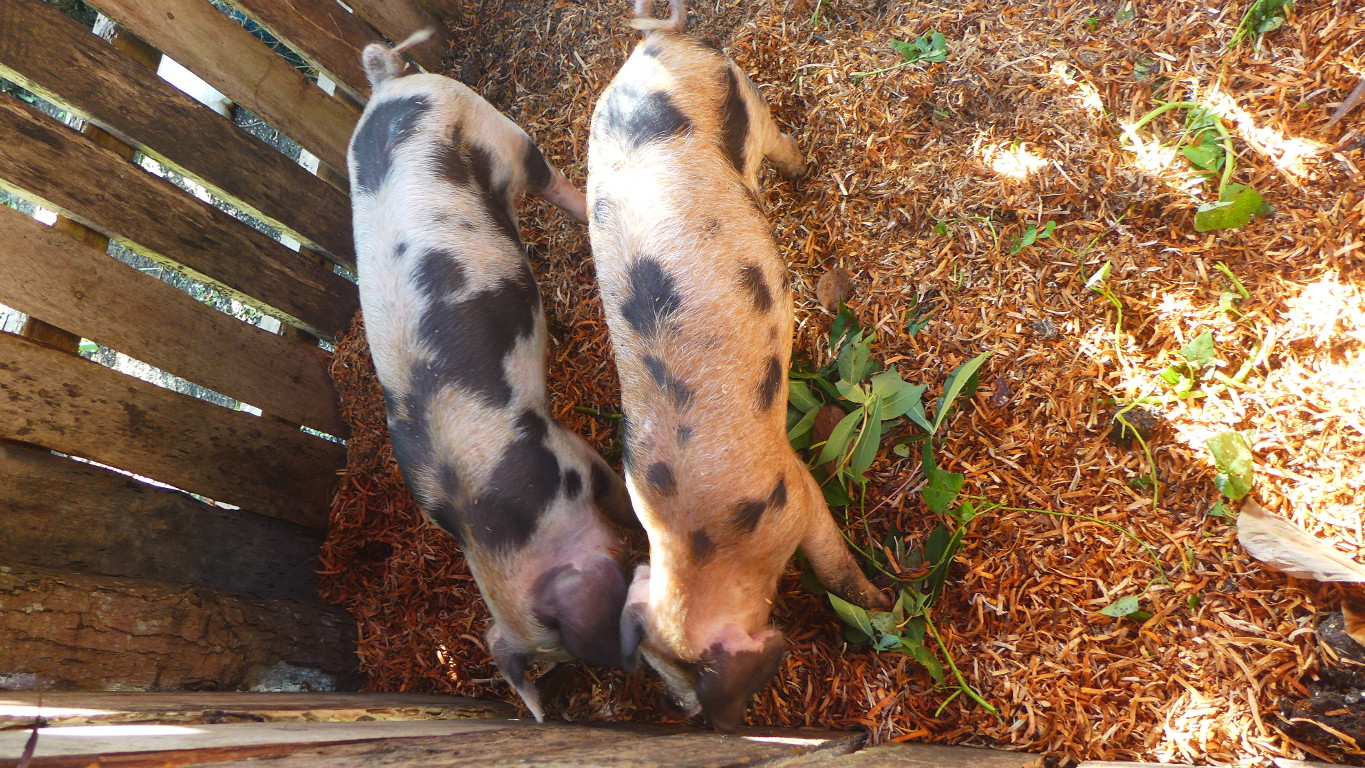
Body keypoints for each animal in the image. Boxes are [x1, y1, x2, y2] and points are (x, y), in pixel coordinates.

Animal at [347, 32, 635, 721]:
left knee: (549, 177)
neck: (495, 521)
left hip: (488, 123)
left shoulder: (571, 452)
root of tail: (386, 86)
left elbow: (616, 488)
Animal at [586, 0, 893, 732]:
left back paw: (803, 170)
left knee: (774, 138)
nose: (718, 723)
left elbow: (833, 560)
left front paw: (878, 607)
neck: (703, 542)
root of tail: (654, 49)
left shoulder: (796, 490)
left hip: (737, 90)